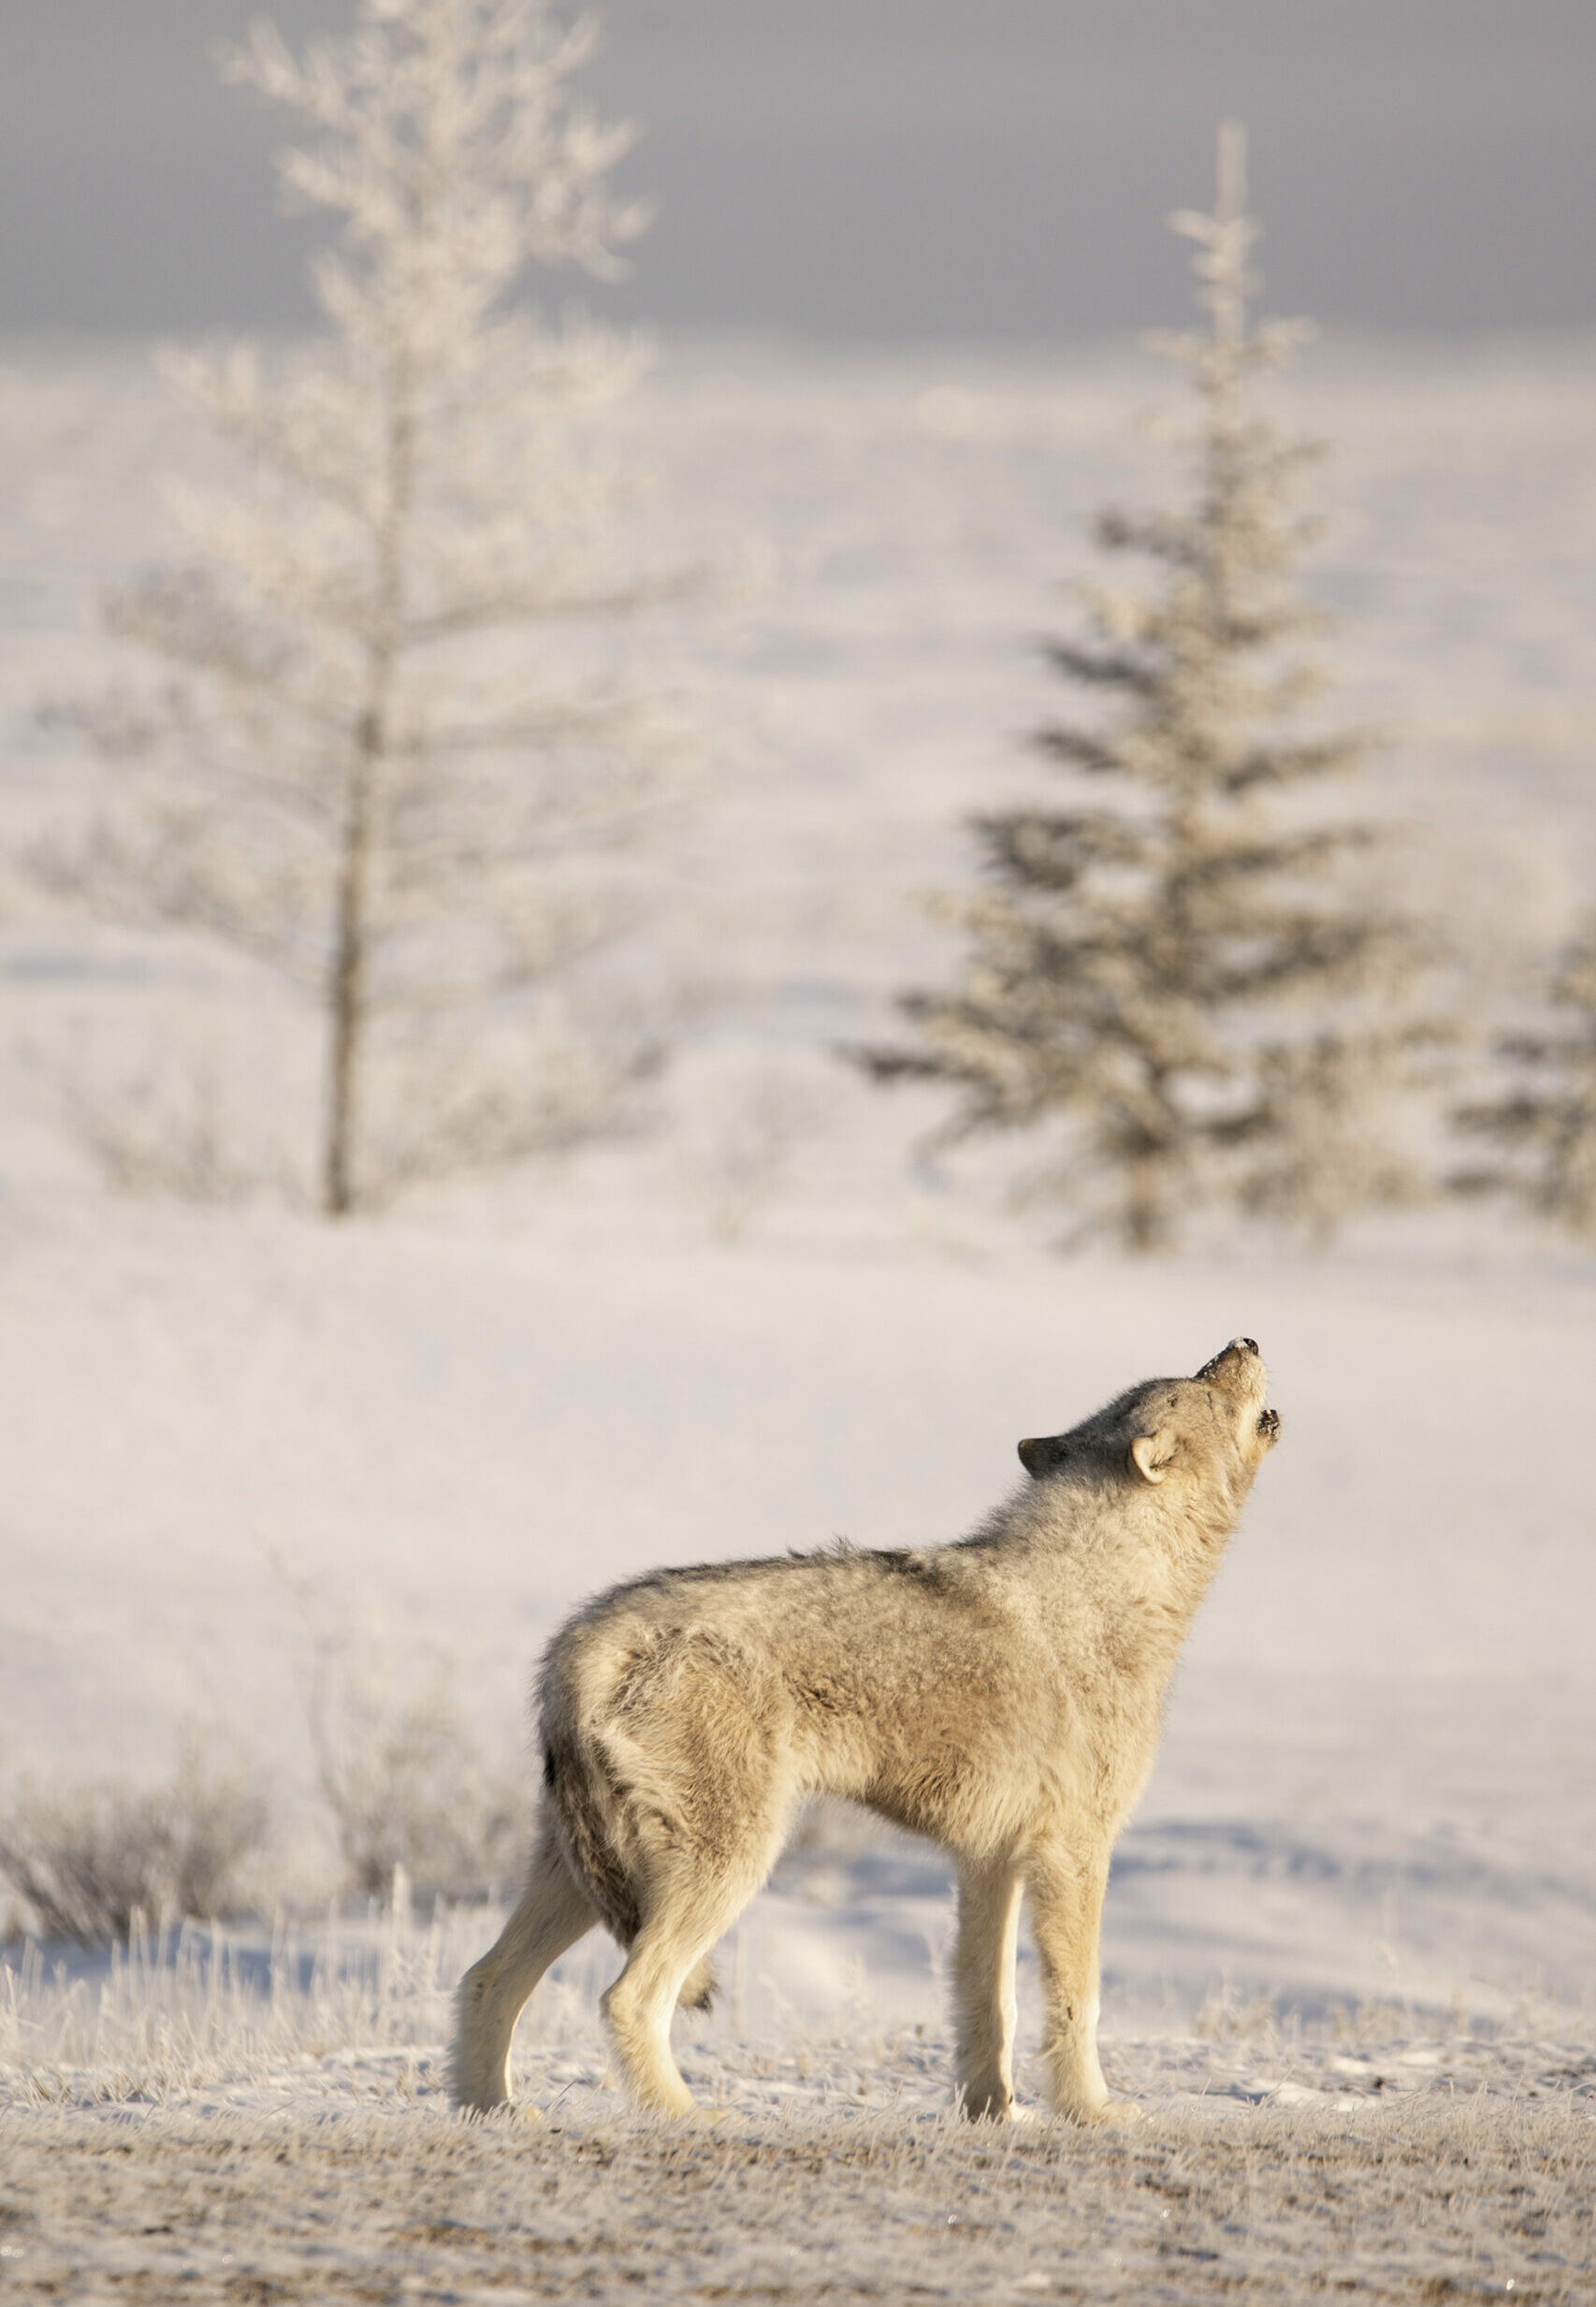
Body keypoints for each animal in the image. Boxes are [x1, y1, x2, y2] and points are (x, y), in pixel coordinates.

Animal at [453, 1336, 1279, 2124]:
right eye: (1205, 1382)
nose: (1246, 1339)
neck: (1113, 1590)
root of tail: (582, 1641)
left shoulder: (991, 1862)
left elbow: (990, 2008)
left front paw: (995, 2116)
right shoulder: (1075, 1854)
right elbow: (1078, 2007)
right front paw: (1094, 2114)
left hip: (585, 1876)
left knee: (484, 1979)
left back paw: (492, 2112)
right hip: (725, 1867)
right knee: (627, 1999)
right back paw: (690, 2117)